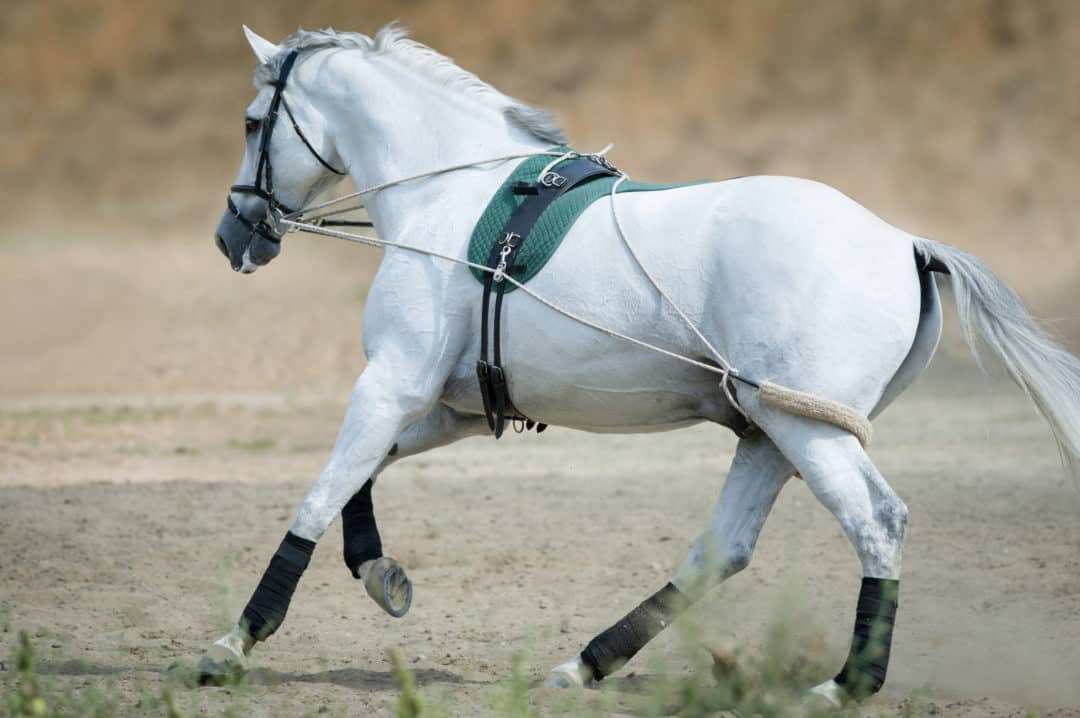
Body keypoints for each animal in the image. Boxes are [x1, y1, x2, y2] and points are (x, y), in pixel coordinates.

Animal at [203, 24, 1080, 706]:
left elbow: (320, 494)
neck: (449, 200)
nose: (233, 235)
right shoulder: (450, 409)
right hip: (769, 432)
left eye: (250, 122)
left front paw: (235, 643)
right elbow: (361, 477)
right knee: (721, 551)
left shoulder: (393, 382)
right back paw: (585, 665)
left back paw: (844, 685)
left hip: (806, 430)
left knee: (877, 522)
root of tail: (904, 241)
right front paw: (379, 572)